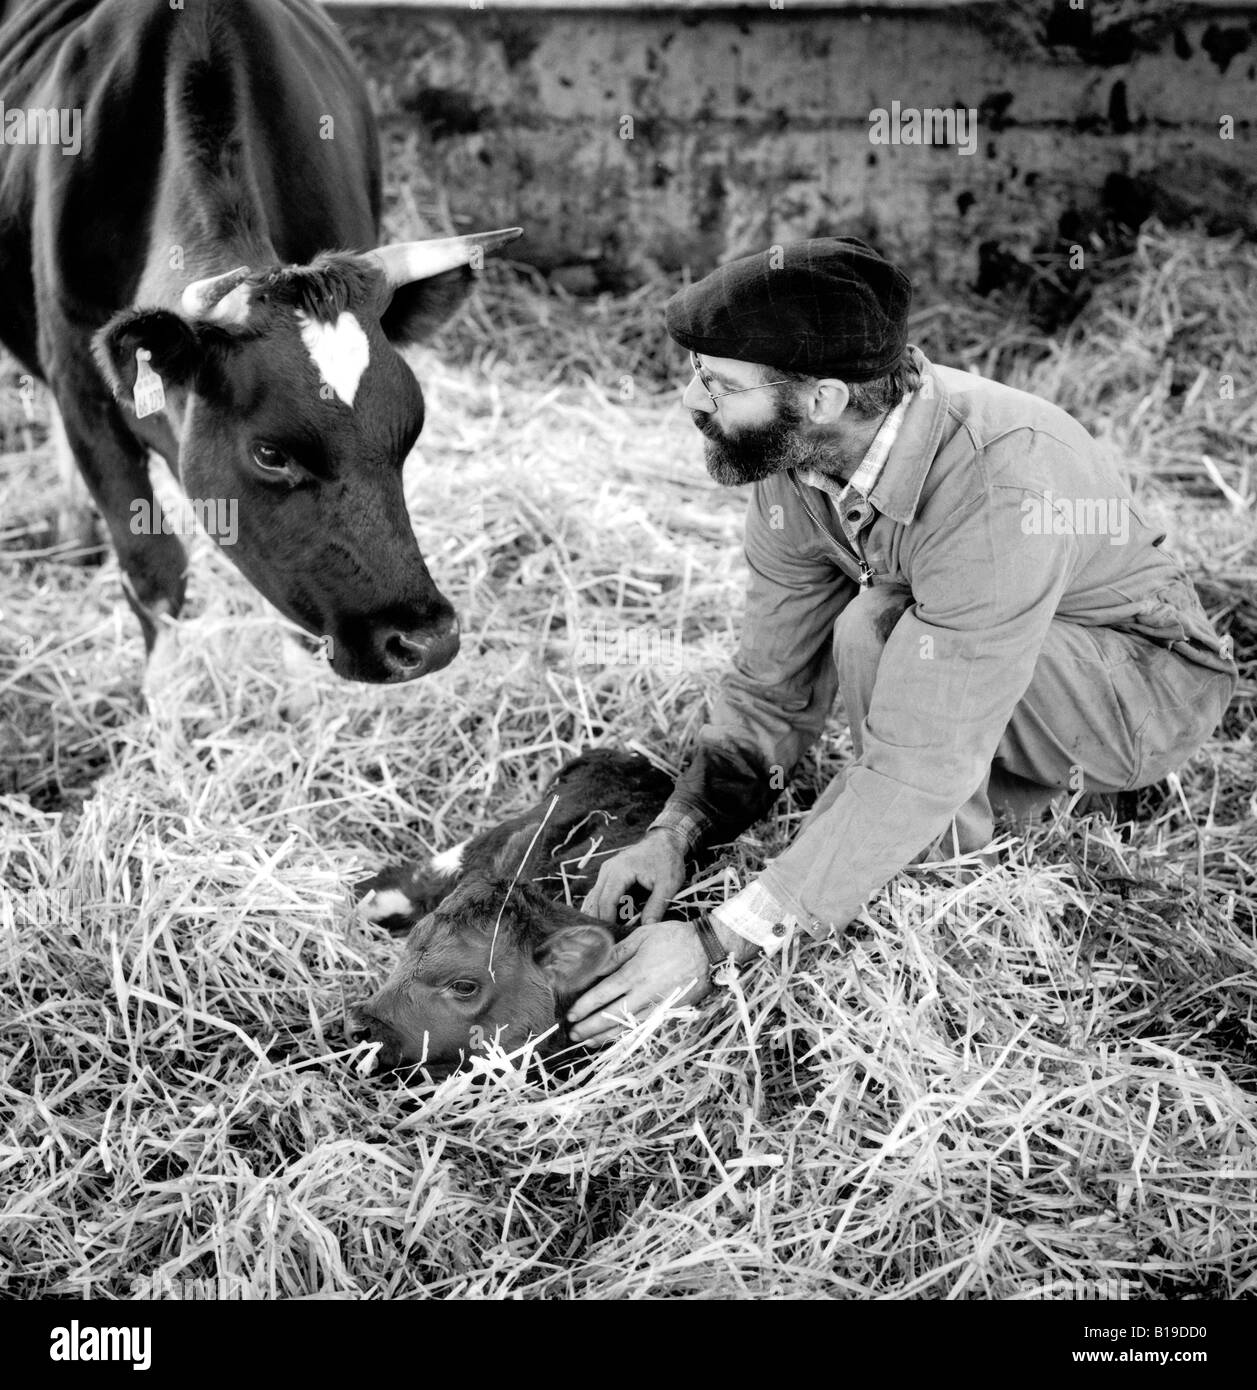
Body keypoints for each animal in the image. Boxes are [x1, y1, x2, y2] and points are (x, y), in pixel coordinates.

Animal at [0, 0, 520, 682]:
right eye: (270, 454)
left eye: (411, 431)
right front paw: (165, 708)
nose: (427, 641)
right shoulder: (83, 396)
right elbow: (155, 574)